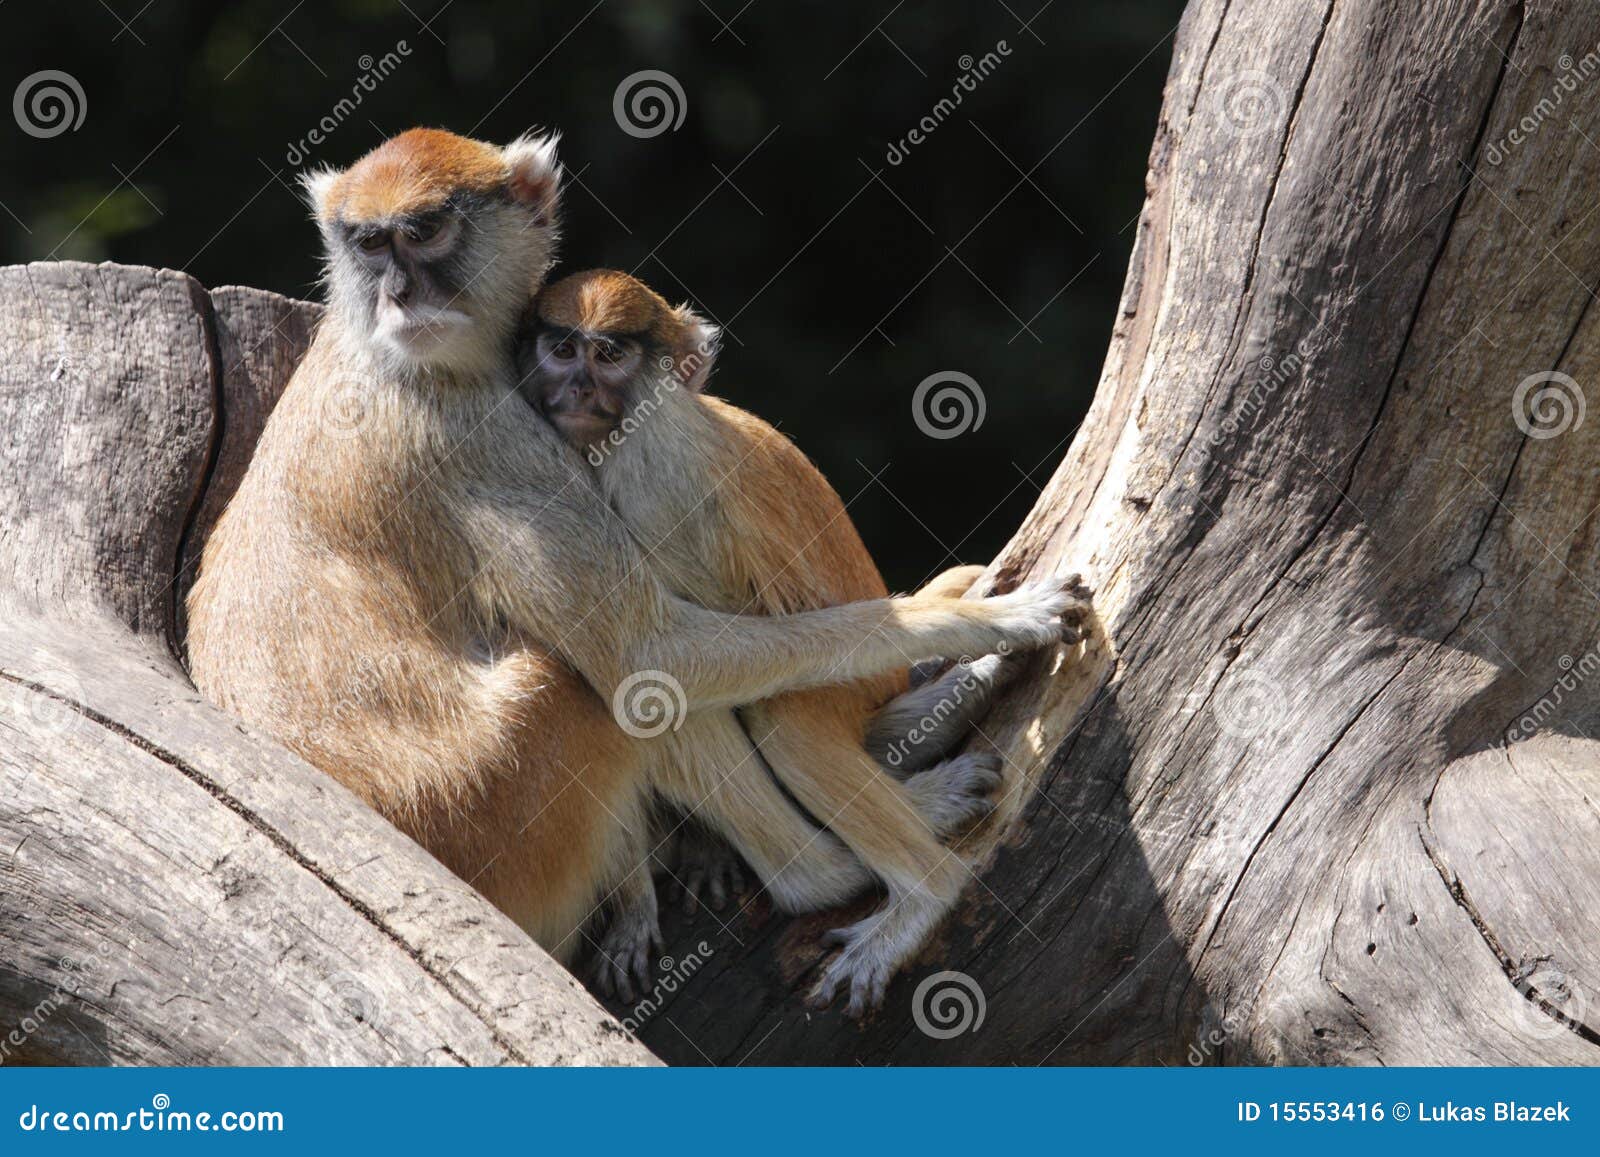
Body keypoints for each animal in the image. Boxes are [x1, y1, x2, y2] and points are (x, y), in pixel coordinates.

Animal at [518, 269, 1089, 1013]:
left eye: (608, 355)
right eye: (562, 348)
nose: (578, 391)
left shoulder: (656, 483)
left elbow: (659, 659)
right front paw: (656, 886)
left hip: (855, 683)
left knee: (778, 716)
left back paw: (922, 890)